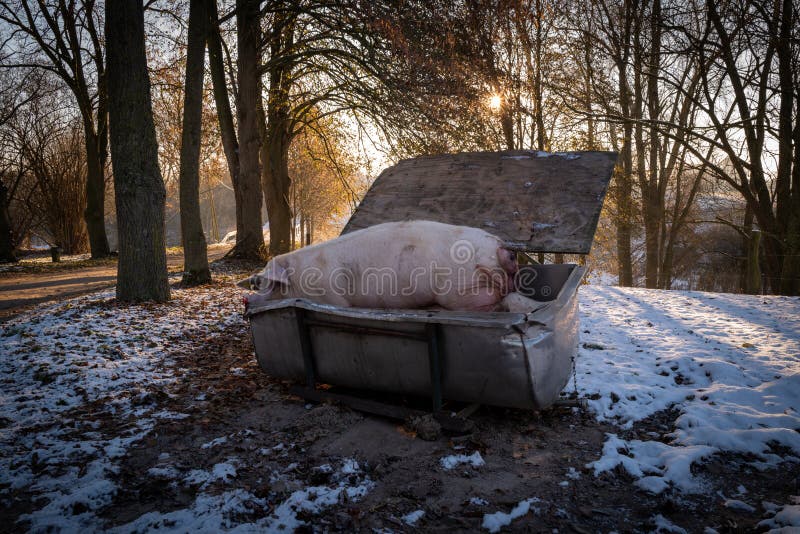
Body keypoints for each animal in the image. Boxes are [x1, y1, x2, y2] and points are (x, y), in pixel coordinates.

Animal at [237, 220, 518, 312]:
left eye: (270, 284)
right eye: (258, 283)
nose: (246, 300)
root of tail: (497, 248)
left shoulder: (333, 299)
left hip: (462, 290)